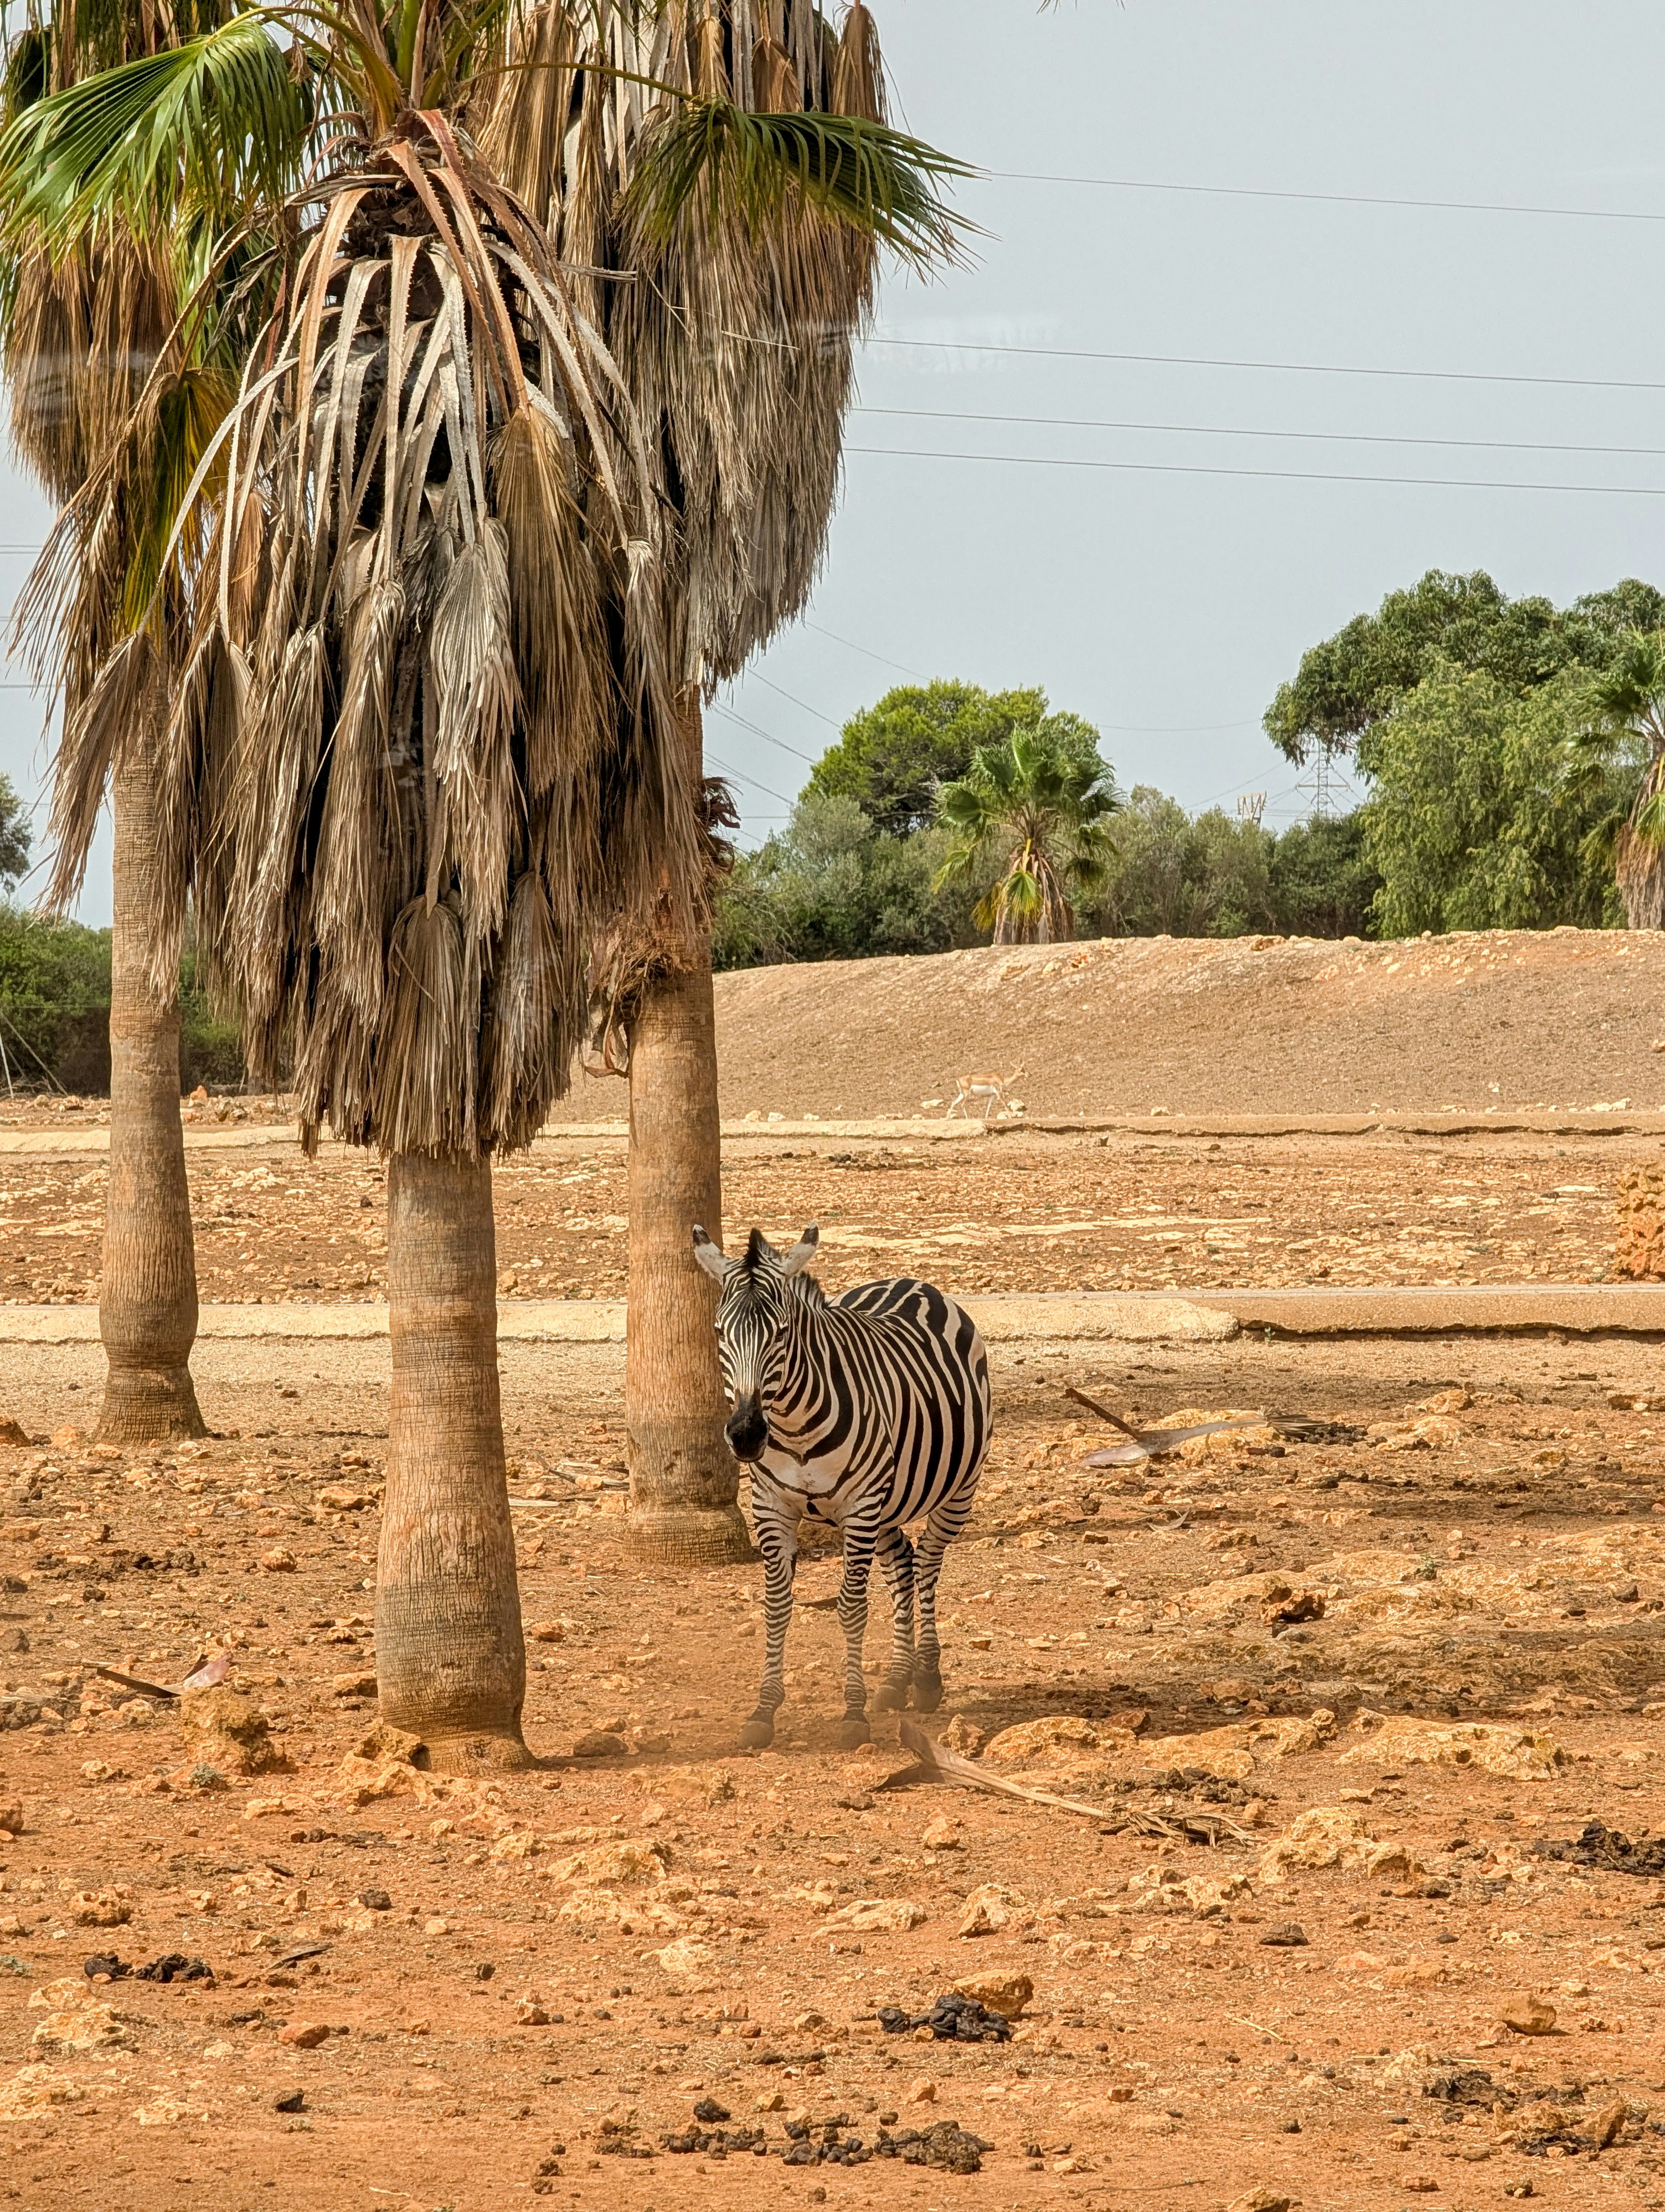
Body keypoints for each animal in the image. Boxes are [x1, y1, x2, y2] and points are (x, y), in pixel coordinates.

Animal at [691, 1221, 992, 1750]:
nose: (746, 1435)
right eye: (718, 1332)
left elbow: (851, 1607)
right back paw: (896, 1680)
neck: (793, 1427)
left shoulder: (859, 1505)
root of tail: (910, 1280)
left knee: (928, 1565)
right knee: (903, 1565)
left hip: (954, 1491)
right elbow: (776, 1607)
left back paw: (926, 1679)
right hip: (889, 1501)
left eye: (781, 1334)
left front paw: (852, 1714)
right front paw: (763, 1711)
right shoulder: (771, 1506)